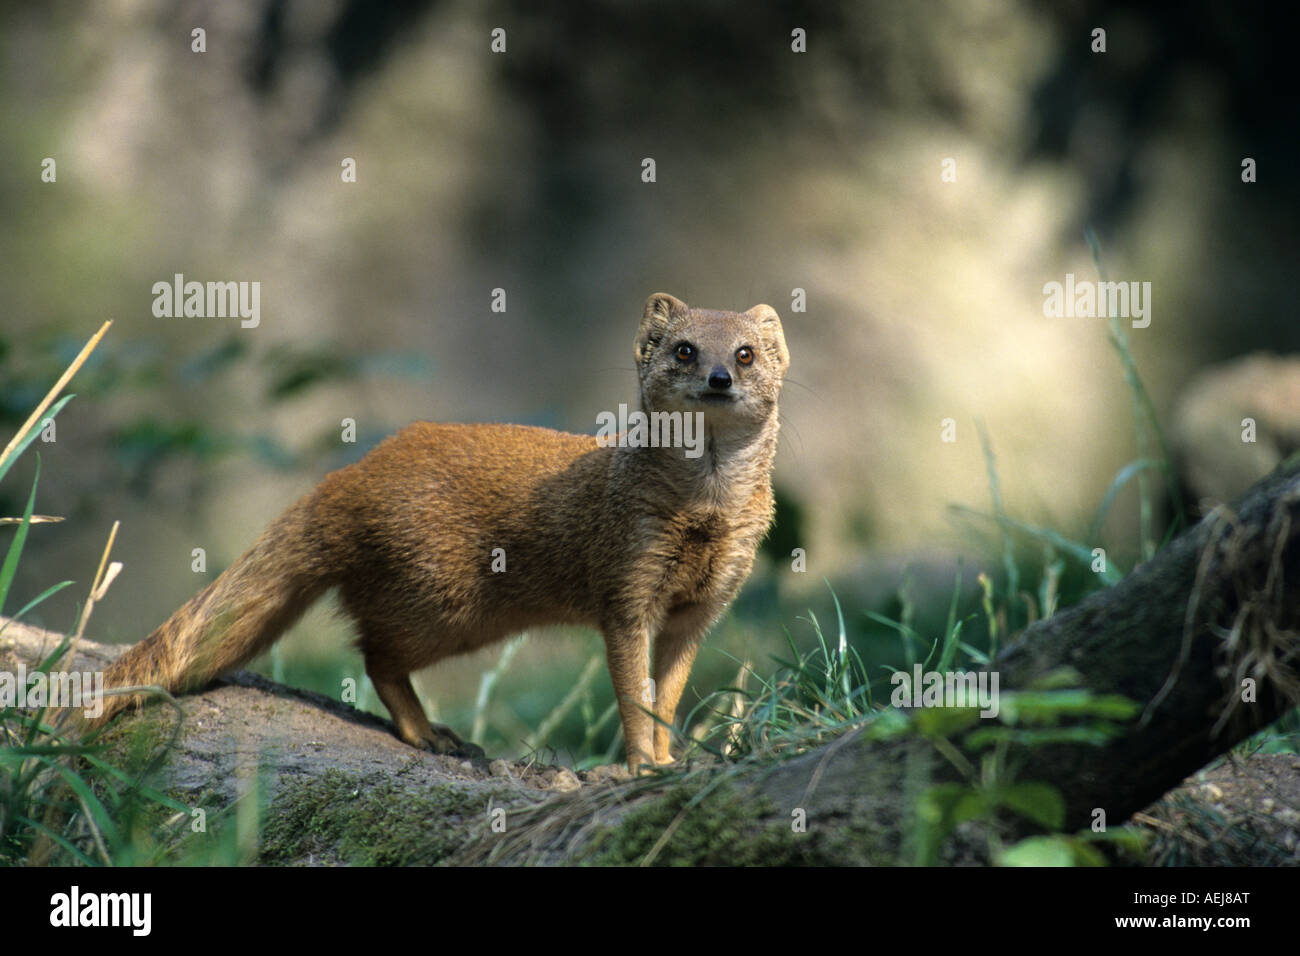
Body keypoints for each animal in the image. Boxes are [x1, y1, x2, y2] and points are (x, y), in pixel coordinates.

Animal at [91, 293, 789, 773]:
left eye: (745, 353)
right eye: (684, 350)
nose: (720, 377)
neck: (705, 513)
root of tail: (350, 478)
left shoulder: (703, 606)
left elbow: (666, 695)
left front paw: (670, 758)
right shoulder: (626, 583)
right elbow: (630, 689)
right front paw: (642, 764)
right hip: (445, 601)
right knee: (375, 653)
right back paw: (431, 733)